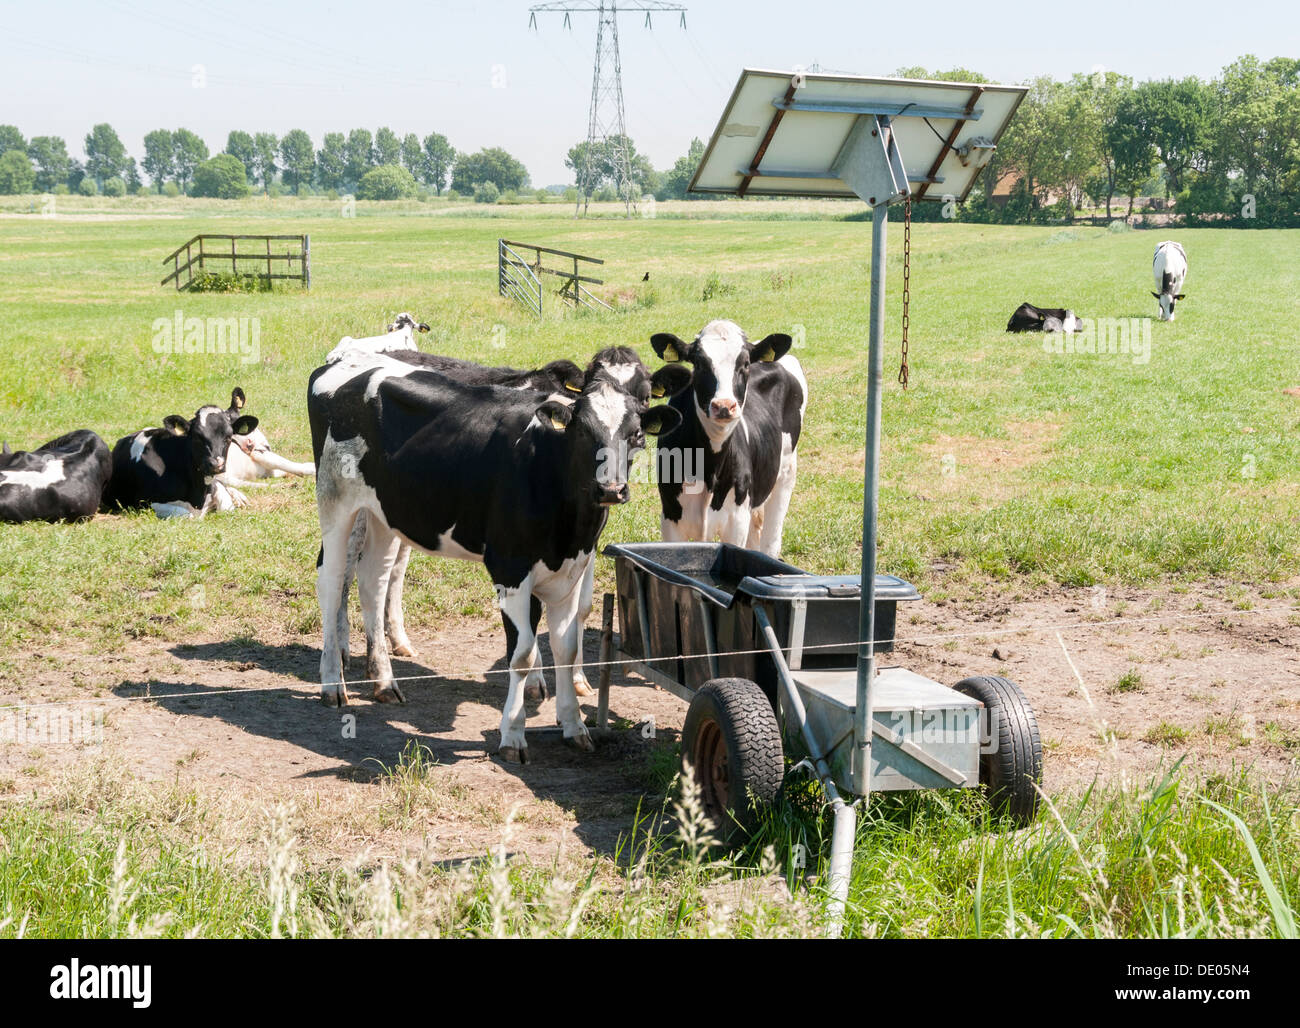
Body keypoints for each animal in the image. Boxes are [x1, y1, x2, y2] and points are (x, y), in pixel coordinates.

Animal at [103, 389, 259, 517]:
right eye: (197, 437)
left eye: (228, 437)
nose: (216, 464)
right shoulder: (145, 502)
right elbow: (186, 515)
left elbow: (226, 506)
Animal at [308, 347, 684, 762]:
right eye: (583, 431)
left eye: (636, 433)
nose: (611, 489)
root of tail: (345, 363)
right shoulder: (510, 568)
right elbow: (522, 654)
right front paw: (513, 735)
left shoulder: (571, 570)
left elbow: (565, 647)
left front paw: (574, 726)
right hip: (336, 501)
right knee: (331, 579)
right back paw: (332, 684)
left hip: (384, 512)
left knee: (373, 581)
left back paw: (385, 682)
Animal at [650, 319, 807, 558]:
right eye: (699, 363)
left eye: (745, 363)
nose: (724, 405)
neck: (708, 469)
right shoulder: (671, 516)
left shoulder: (736, 519)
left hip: (786, 472)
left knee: (770, 541)